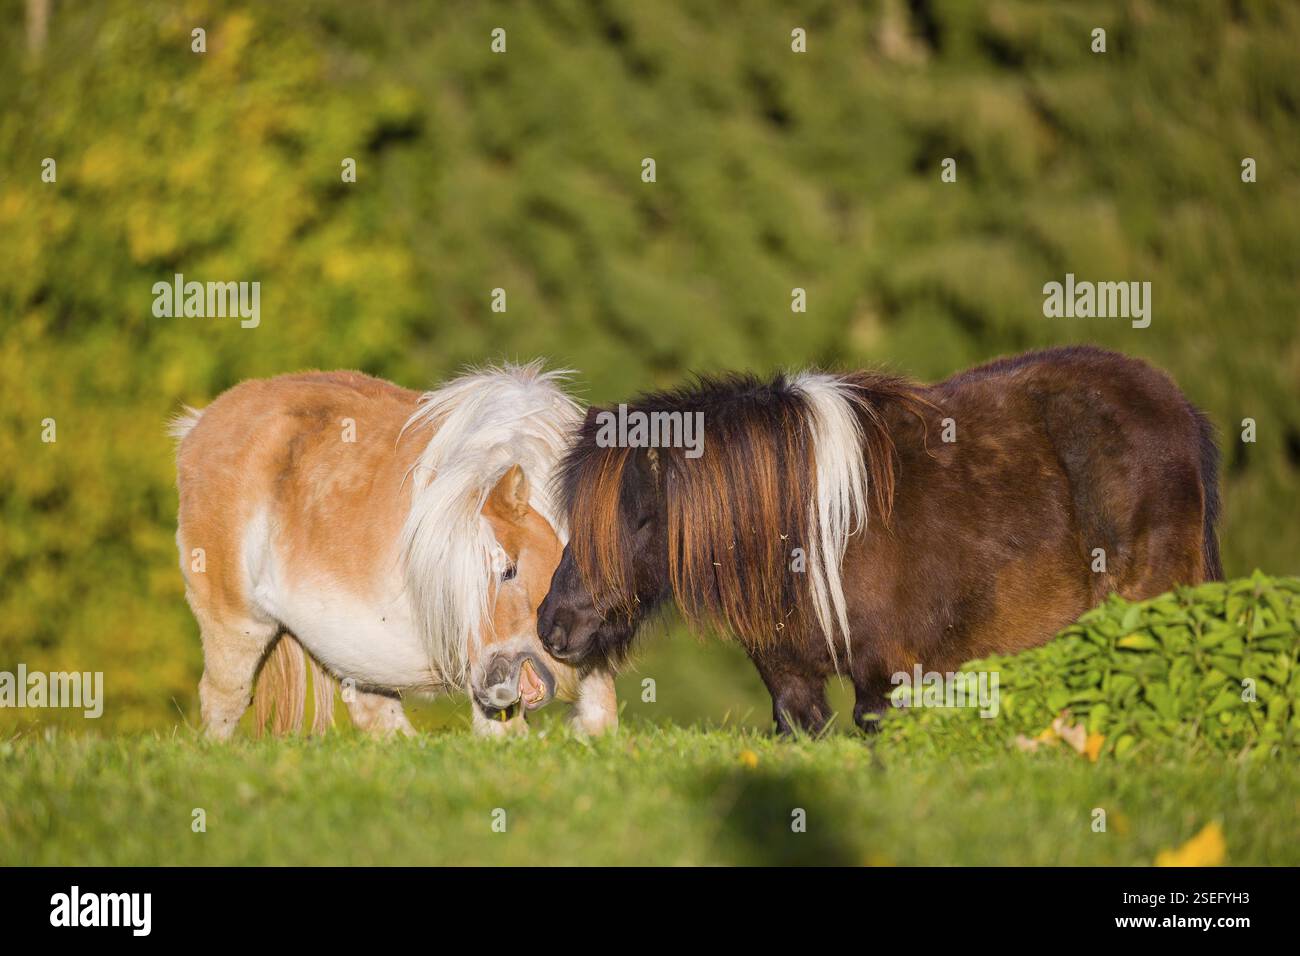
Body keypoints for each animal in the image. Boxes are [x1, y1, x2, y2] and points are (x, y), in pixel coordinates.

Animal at [172, 362, 618, 738]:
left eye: (508, 569)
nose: (495, 681)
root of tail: (198, 425)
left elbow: (601, 716)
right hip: (237, 622)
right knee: (223, 700)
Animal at [537, 346, 1222, 735]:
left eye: (639, 519)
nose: (553, 625)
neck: (805, 534)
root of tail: (1180, 409)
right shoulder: (791, 686)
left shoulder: (888, 679)